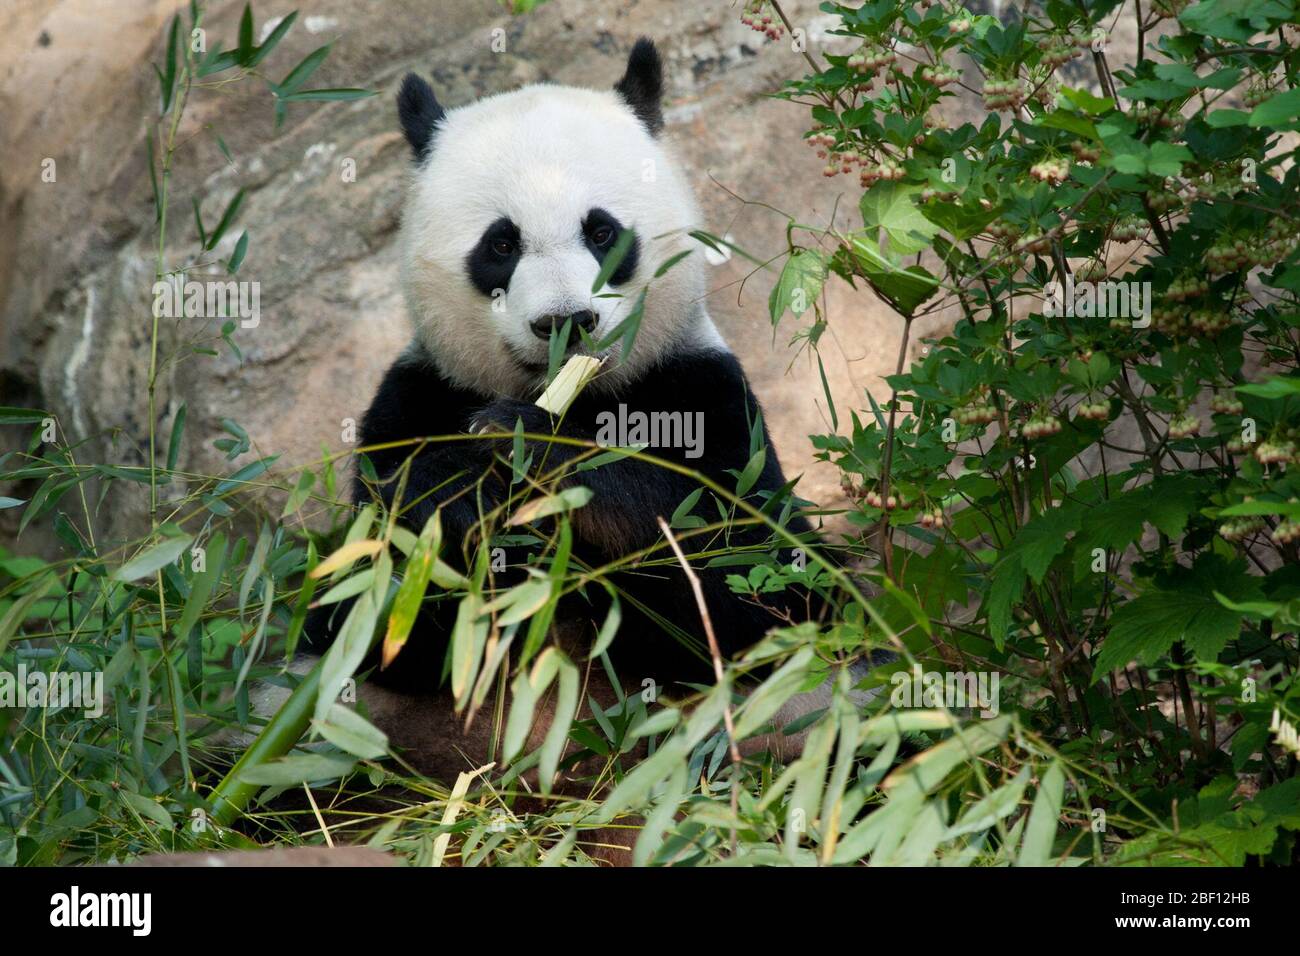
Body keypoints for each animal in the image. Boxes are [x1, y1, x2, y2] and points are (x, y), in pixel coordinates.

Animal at [283, 39, 872, 785]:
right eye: (501, 244)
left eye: (601, 231)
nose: (565, 321)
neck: (578, 393)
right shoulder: (415, 398)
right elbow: (373, 612)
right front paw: (455, 493)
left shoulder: (704, 392)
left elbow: (758, 578)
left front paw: (532, 449)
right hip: (358, 743)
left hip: (798, 730)